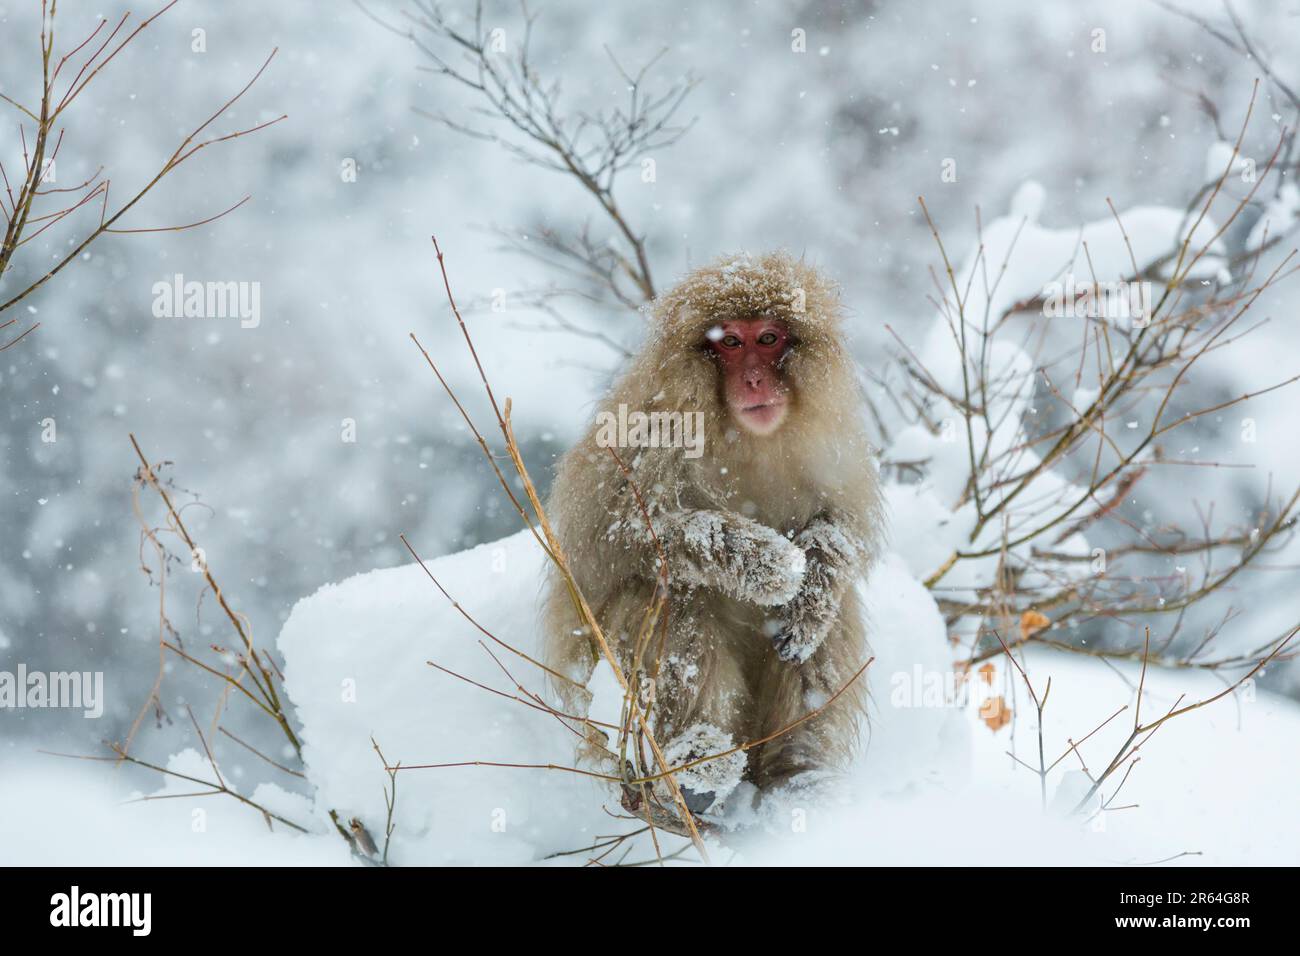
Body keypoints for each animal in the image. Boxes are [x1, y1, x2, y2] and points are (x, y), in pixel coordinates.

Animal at [542, 251, 883, 819]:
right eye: (730, 343)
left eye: (767, 338)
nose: (754, 381)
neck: (744, 435)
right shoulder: (646, 426)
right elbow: (614, 539)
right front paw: (765, 562)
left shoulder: (833, 441)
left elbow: (842, 525)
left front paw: (812, 587)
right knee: (671, 589)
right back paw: (697, 764)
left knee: (827, 621)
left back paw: (796, 770)